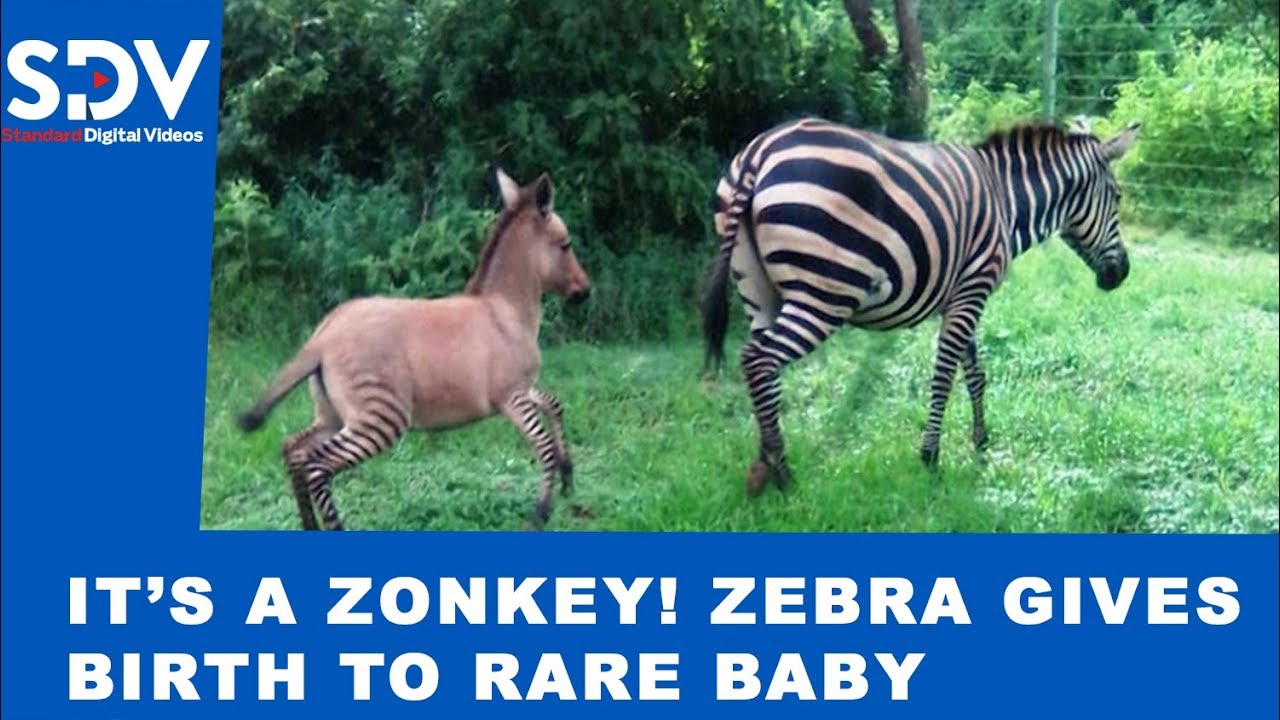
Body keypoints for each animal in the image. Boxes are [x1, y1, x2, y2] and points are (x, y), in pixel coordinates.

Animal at [700, 116, 1141, 496]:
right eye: (1118, 197)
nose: (1121, 274)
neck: (1007, 200)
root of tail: (760, 151)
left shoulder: (960, 296)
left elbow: (975, 373)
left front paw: (981, 444)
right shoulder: (972, 290)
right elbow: (944, 375)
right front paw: (931, 458)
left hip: (758, 291)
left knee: (761, 368)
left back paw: (762, 467)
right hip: (824, 293)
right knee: (759, 359)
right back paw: (783, 473)